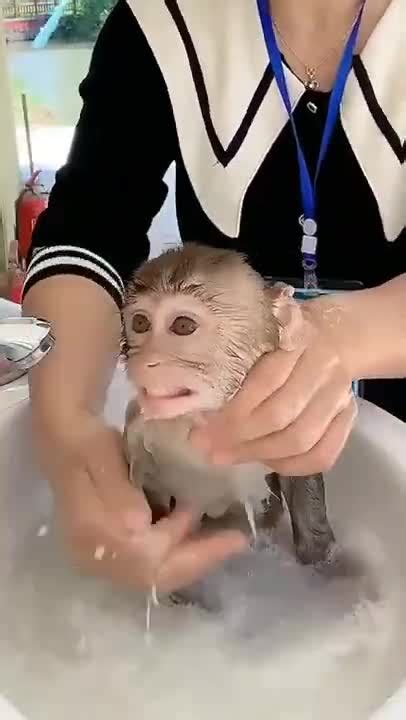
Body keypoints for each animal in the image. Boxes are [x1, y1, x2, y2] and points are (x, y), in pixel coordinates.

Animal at [121, 244, 337, 602]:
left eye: (182, 326)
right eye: (140, 322)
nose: (144, 361)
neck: (205, 420)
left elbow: (298, 469)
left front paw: (323, 563)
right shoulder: (139, 428)